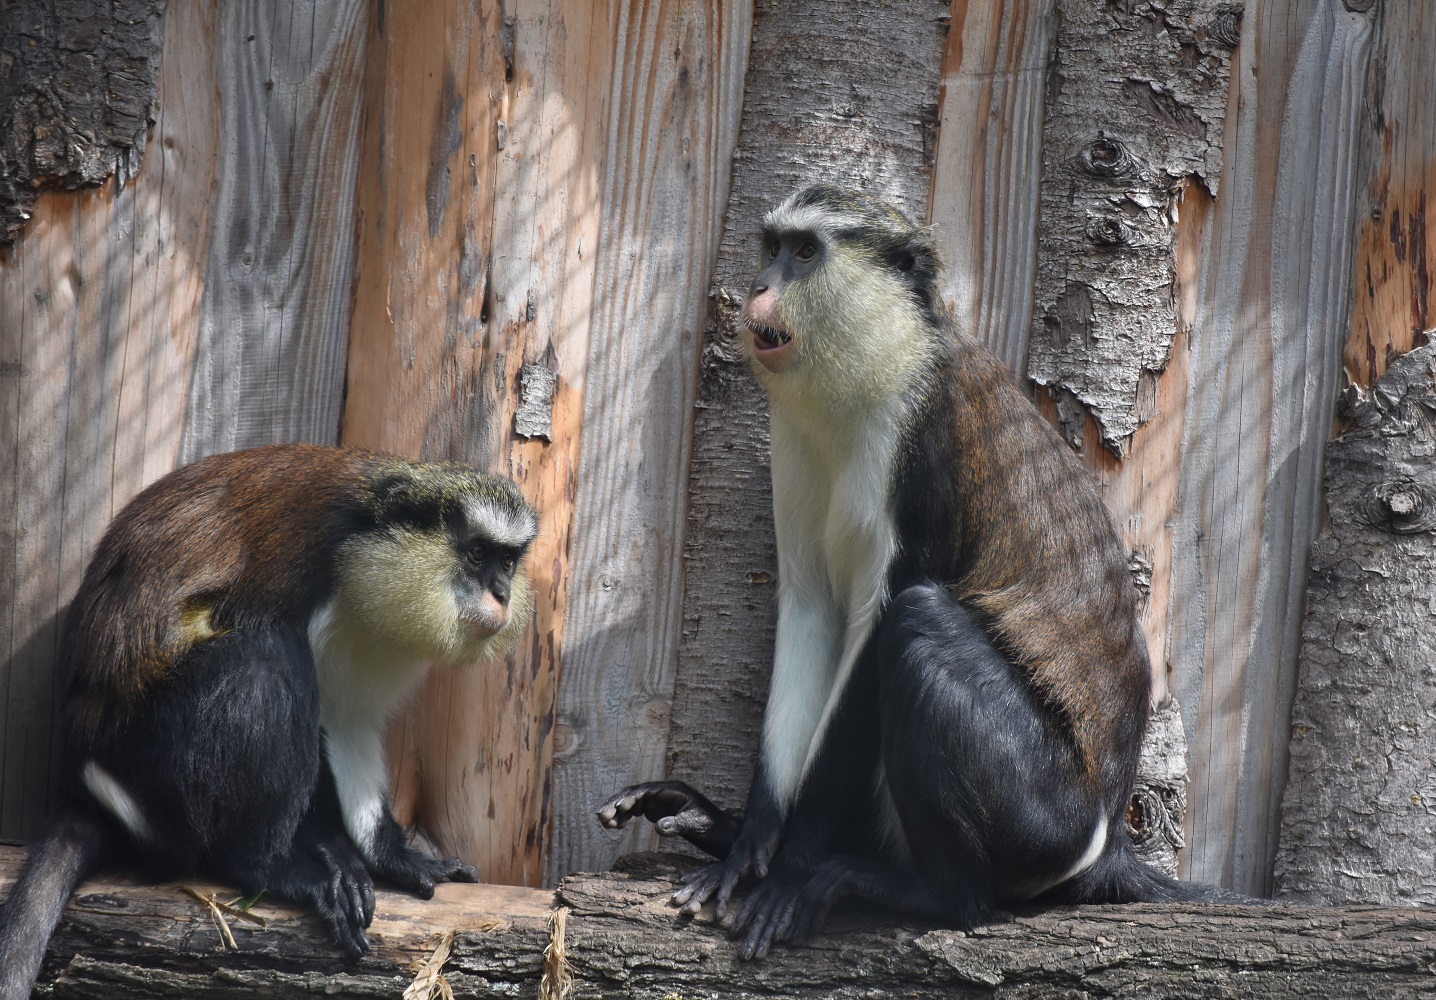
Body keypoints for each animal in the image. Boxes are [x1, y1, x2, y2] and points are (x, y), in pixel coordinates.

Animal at [0, 443, 538, 998]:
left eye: (508, 560)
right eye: (476, 554)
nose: (501, 594)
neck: (360, 545)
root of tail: (89, 782)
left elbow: (347, 718)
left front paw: (390, 855)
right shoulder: (301, 578)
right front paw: (332, 854)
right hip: (152, 764)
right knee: (266, 660)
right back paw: (273, 866)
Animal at [599, 183, 1245, 959]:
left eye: (806, 253)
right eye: (773, 247)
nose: (758, 289)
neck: (877, 361)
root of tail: (1107, 842)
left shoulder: (926, 442)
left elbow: (876, 632)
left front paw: (786, 870)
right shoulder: (792, 442)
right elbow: (811, 611)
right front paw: (750, 843)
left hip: (1040, 822)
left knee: (919, 623)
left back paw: (934, 893)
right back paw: (709, 822)